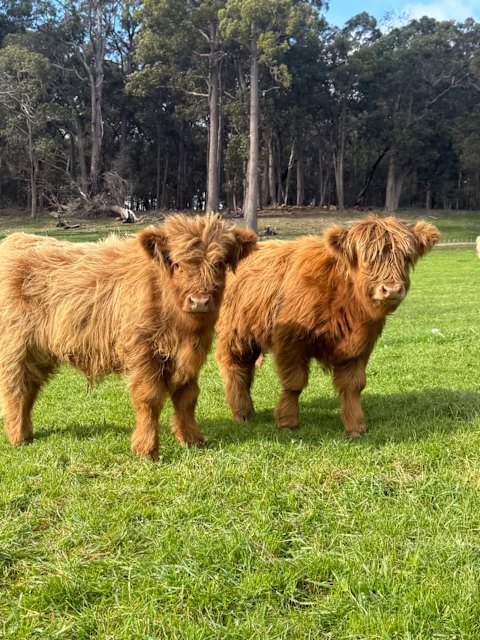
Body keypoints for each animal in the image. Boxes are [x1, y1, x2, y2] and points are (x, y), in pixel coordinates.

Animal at [0, 214, 257, 459]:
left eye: (220, 263)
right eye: (176, 264)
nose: (200, 301)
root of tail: (16, 239)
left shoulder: (191, 356)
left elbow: (187, 398)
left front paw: (192, 440)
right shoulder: (142, 351)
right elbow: (149, 399)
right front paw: (147, 449)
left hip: (38, 353)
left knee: (29, 388)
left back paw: (26, 432)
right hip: (16, 346)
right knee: (16, 389)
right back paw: (18, 437)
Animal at [216, 216, 440, 437]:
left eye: (406, 257)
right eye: (367, 258)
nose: (391, 290)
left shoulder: (359, 347)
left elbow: (354, 385)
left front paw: (356, 426)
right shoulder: (291, 342)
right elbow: (293, 383)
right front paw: (288, 422)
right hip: (236, 334)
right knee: (236, 368)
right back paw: (241, 412)